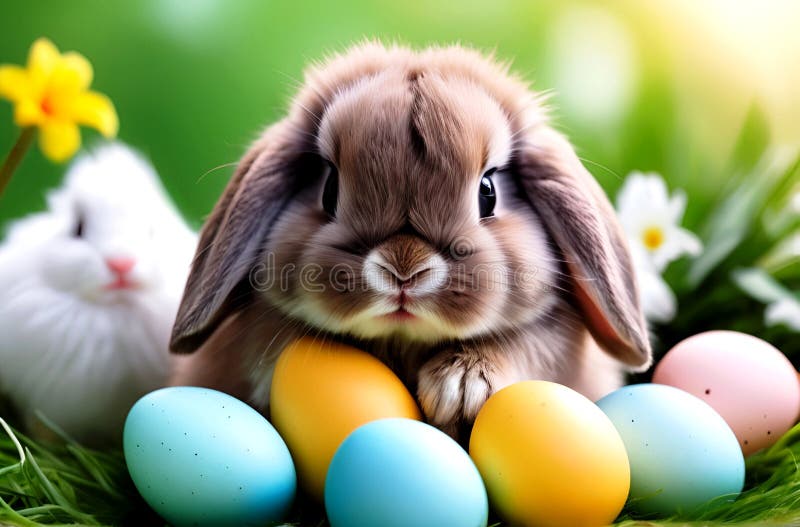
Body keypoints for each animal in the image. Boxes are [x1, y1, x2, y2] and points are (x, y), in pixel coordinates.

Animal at [169, 42, 652, 441]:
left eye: (488, 192)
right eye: (329, 189)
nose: (403, 271)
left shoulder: (554, 343)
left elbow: (527, 345)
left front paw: (459, 389)